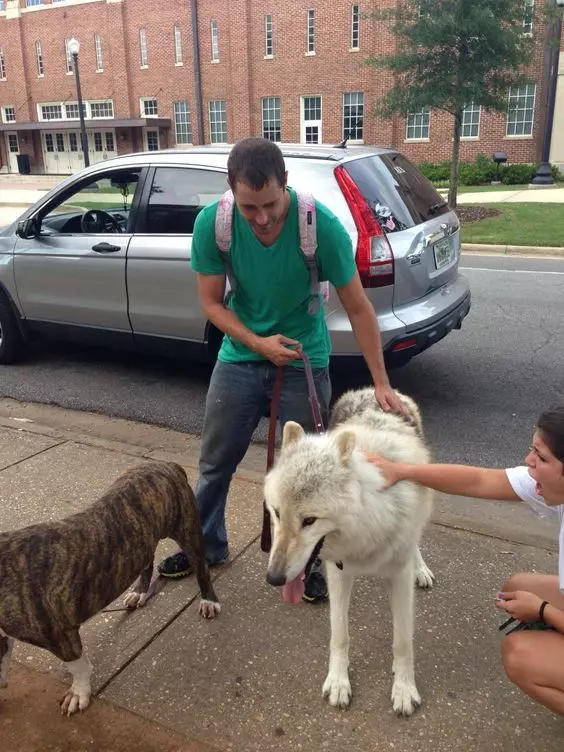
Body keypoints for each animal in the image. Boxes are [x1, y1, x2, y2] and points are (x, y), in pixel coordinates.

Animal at [0, 462, 219, 712]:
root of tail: (165, 465)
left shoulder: (60, 635)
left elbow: (78, 666)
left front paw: (78, 693)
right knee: (147, 562)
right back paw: (139, 592)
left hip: (187, 530)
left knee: (201, 567)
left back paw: (209, 601)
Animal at [264, 390, 432, 712]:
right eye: (277, 513)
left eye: (309, 520)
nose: (274, 578)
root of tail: (371, 390)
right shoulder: (338, 573)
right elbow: (339, 635)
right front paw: (339, 682)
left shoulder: (399, 577)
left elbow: (403, 641)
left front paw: (404, 688)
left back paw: (422, 569)